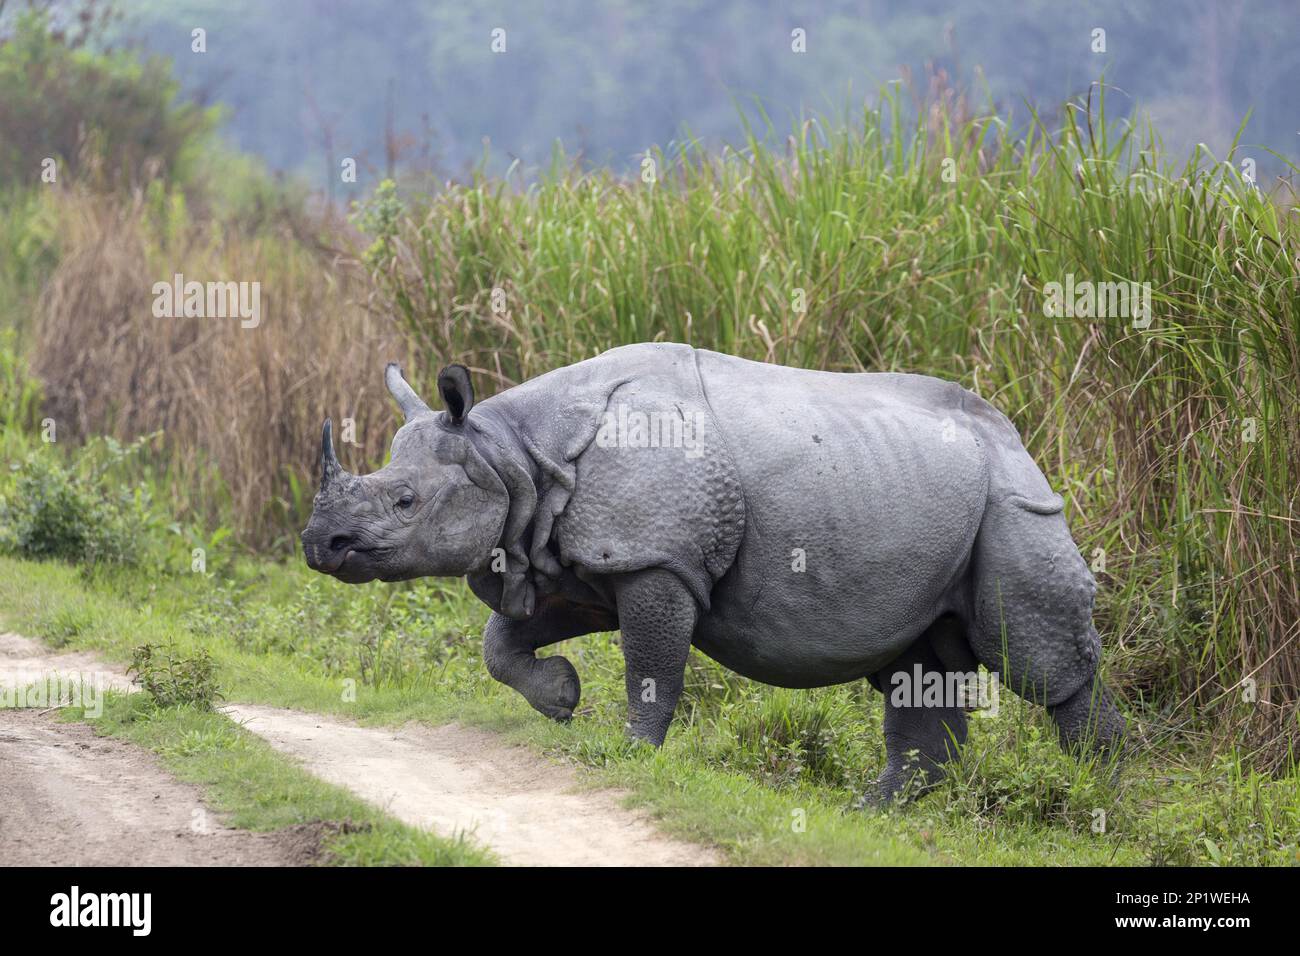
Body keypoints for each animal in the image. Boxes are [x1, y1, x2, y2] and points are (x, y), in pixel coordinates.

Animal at [302, 343, 1125, 802]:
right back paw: (874, 813)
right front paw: (562, 697)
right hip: (919, 492)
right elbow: (501, 641)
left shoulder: (655, 560)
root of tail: (1017, 438)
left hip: (1012, 500)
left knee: (1036, 661)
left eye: (405, 501)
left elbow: (652, 668)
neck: (511, 454)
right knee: (918, 663)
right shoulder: (580, 560)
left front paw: (628, 753)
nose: (320, 542)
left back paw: (1098, 798)